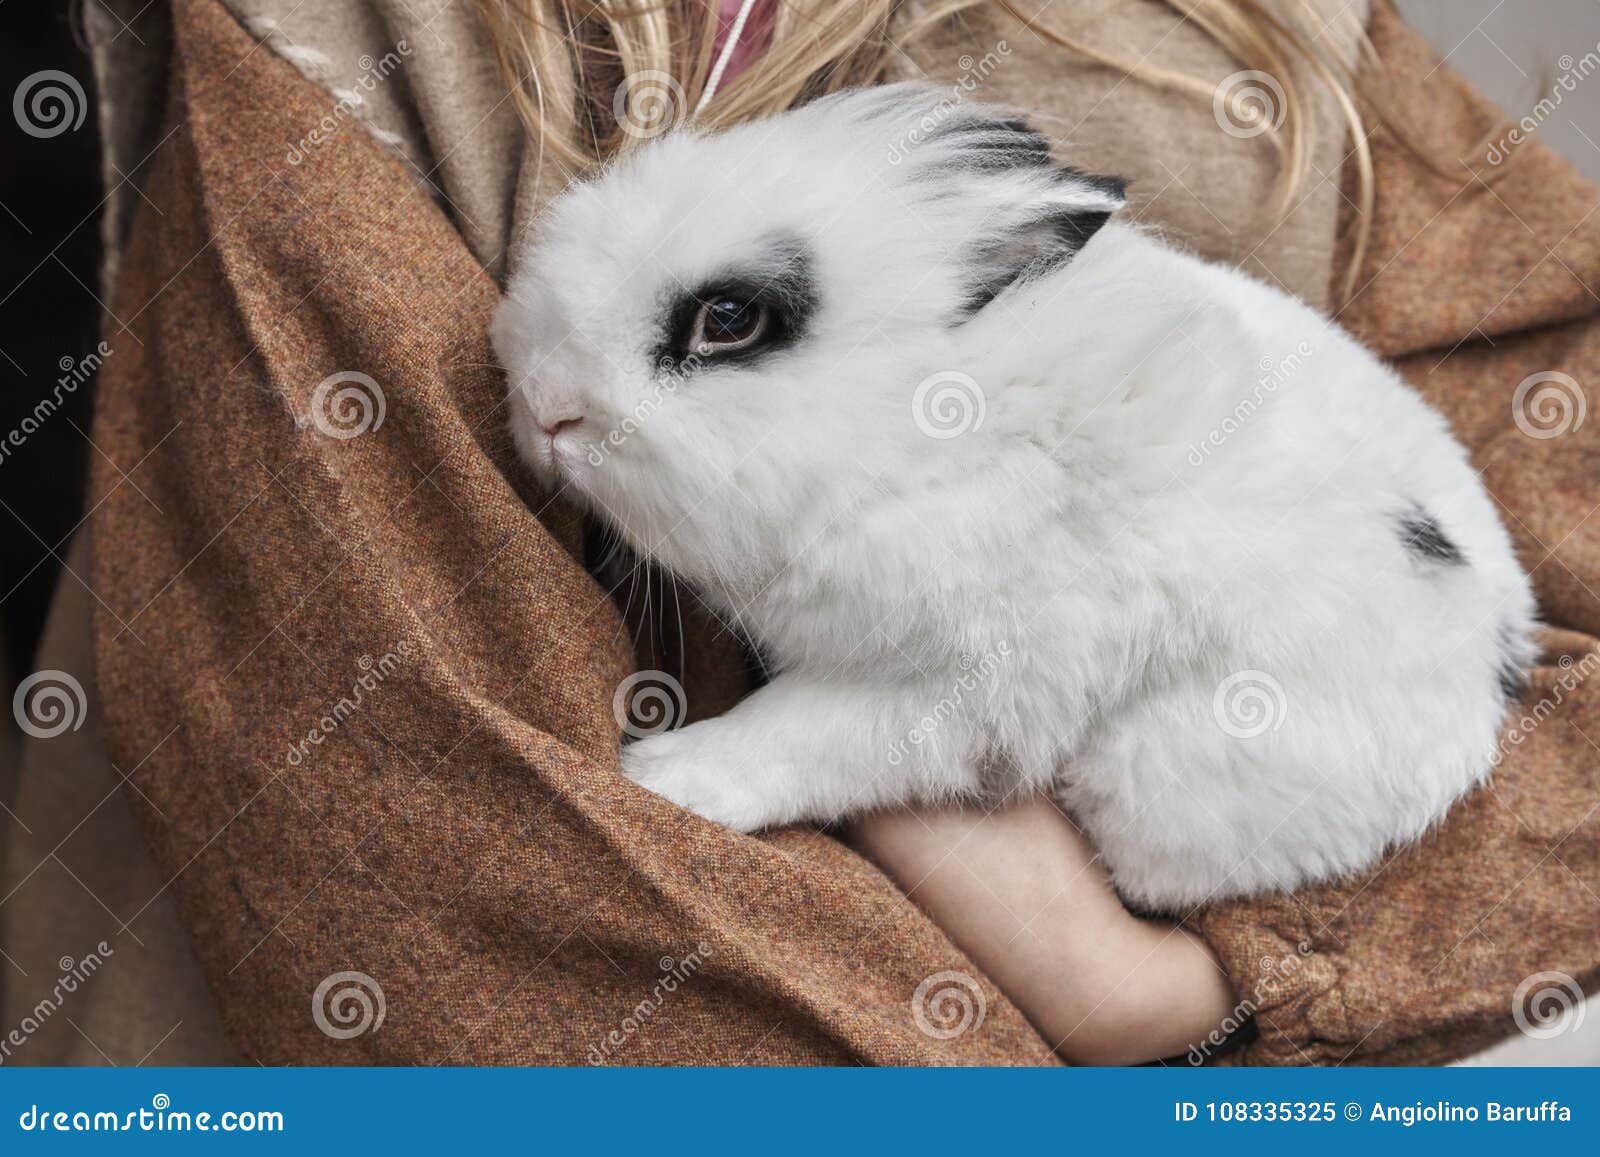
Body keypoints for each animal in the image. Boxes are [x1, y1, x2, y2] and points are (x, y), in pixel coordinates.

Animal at [490, 83, 1537, 910]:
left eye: (731, 318)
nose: (544, 403)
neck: (922, 424)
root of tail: (1500, 654)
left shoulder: (962, 686)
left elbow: (802, 737)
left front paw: (666, 776)